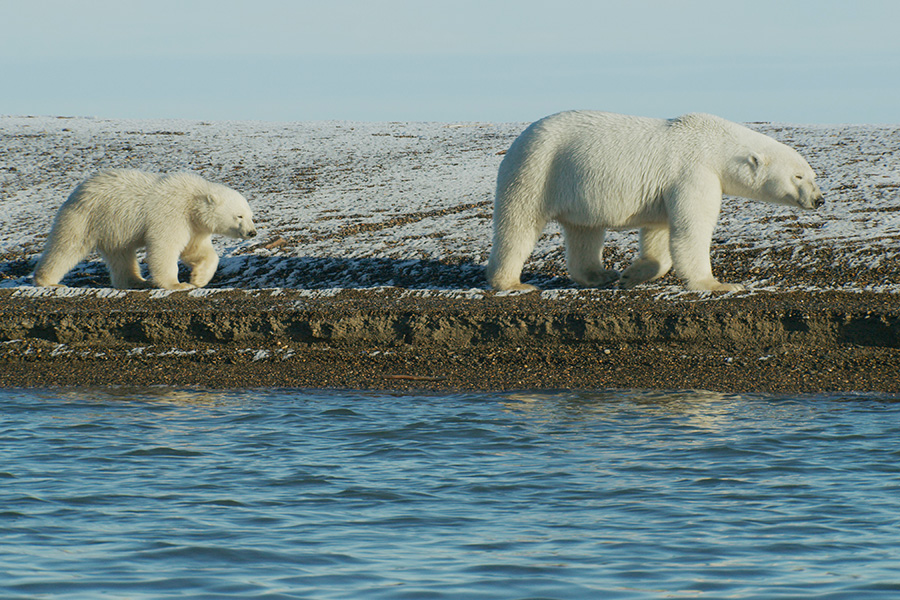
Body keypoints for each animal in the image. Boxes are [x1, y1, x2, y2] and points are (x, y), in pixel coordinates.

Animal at [33, 169, 257, 290]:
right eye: (239, 216)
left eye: (250, 215)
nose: (252, 232)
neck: (192, 201)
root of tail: (77, 191)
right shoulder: (171, 214)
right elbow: (165, 247)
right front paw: (177, 284)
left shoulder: (194, 226)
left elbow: (196, 250)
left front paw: (198, 278)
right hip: (86, 217)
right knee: (66, 247)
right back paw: (48, 281)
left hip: (113, 229)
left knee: (121, 256)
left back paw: (137, 281)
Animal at [486, 110, 825, 292]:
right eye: (798, 177)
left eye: (812, 174)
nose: (819, 200)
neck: (716, 146)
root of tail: (521, 137)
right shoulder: (695, 172)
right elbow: (692, 229)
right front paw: (718, 284)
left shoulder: (667, 186)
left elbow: (660, 234)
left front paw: (630, 275)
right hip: (539, 168)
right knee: (519, 225)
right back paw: (512, 283)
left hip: (576, 183)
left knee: (585, 231)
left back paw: (600, 274)